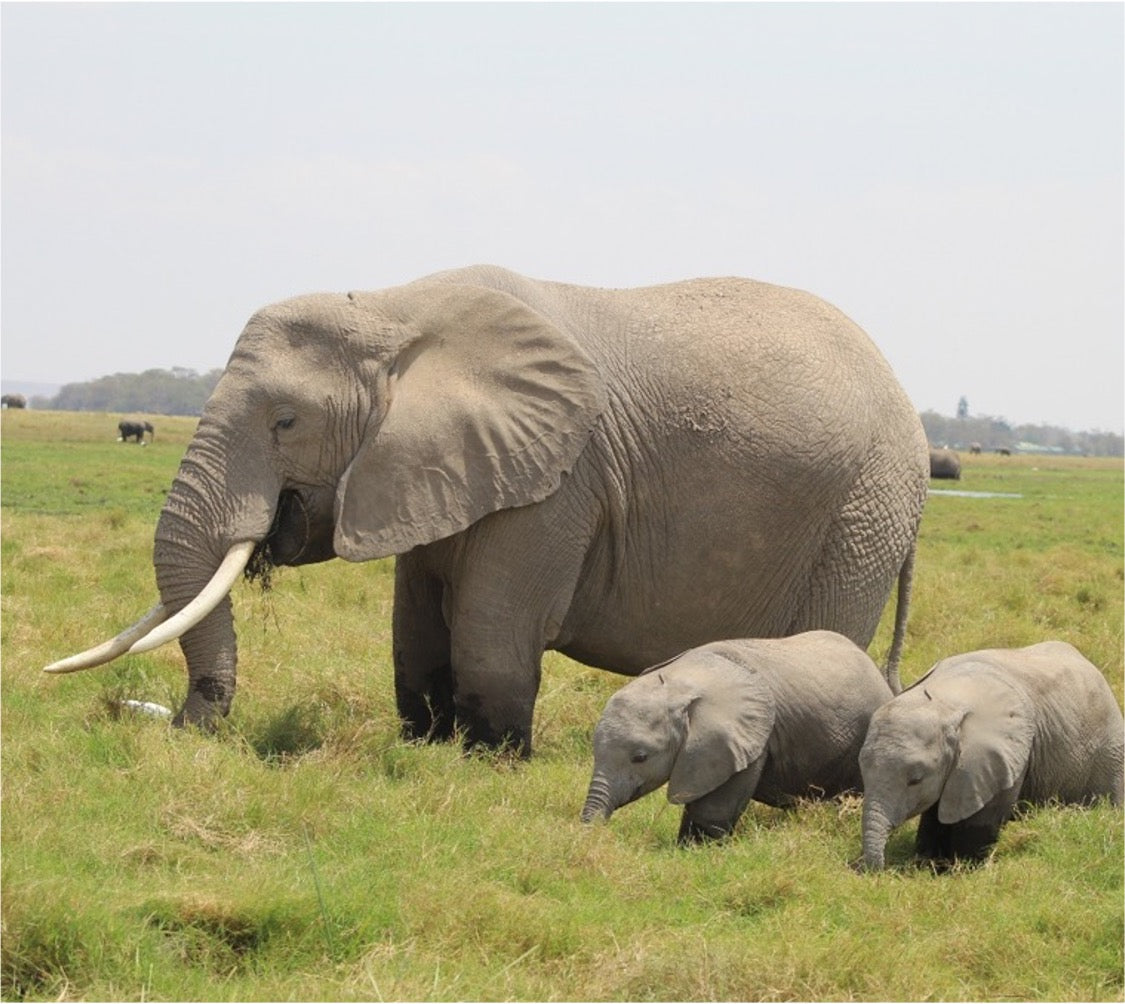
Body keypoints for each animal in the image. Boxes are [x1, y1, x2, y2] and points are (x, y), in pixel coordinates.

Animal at [46, 265, 928, 756]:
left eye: (286, 422)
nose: (182, 723)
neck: (392, 309)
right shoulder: (433, 469)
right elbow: (416, 625)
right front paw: (426, 744)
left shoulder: (559, 479)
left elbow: (490, 626)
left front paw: (489, 758)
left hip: (860, 510)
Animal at [859, 641, 1124, 870]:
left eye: (915, 780)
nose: (874, 870)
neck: (945, 699)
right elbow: (936, 816)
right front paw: (928, 865)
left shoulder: (1001, 759)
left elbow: (979, 820)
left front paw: (961, 870)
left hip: (1110, 751)